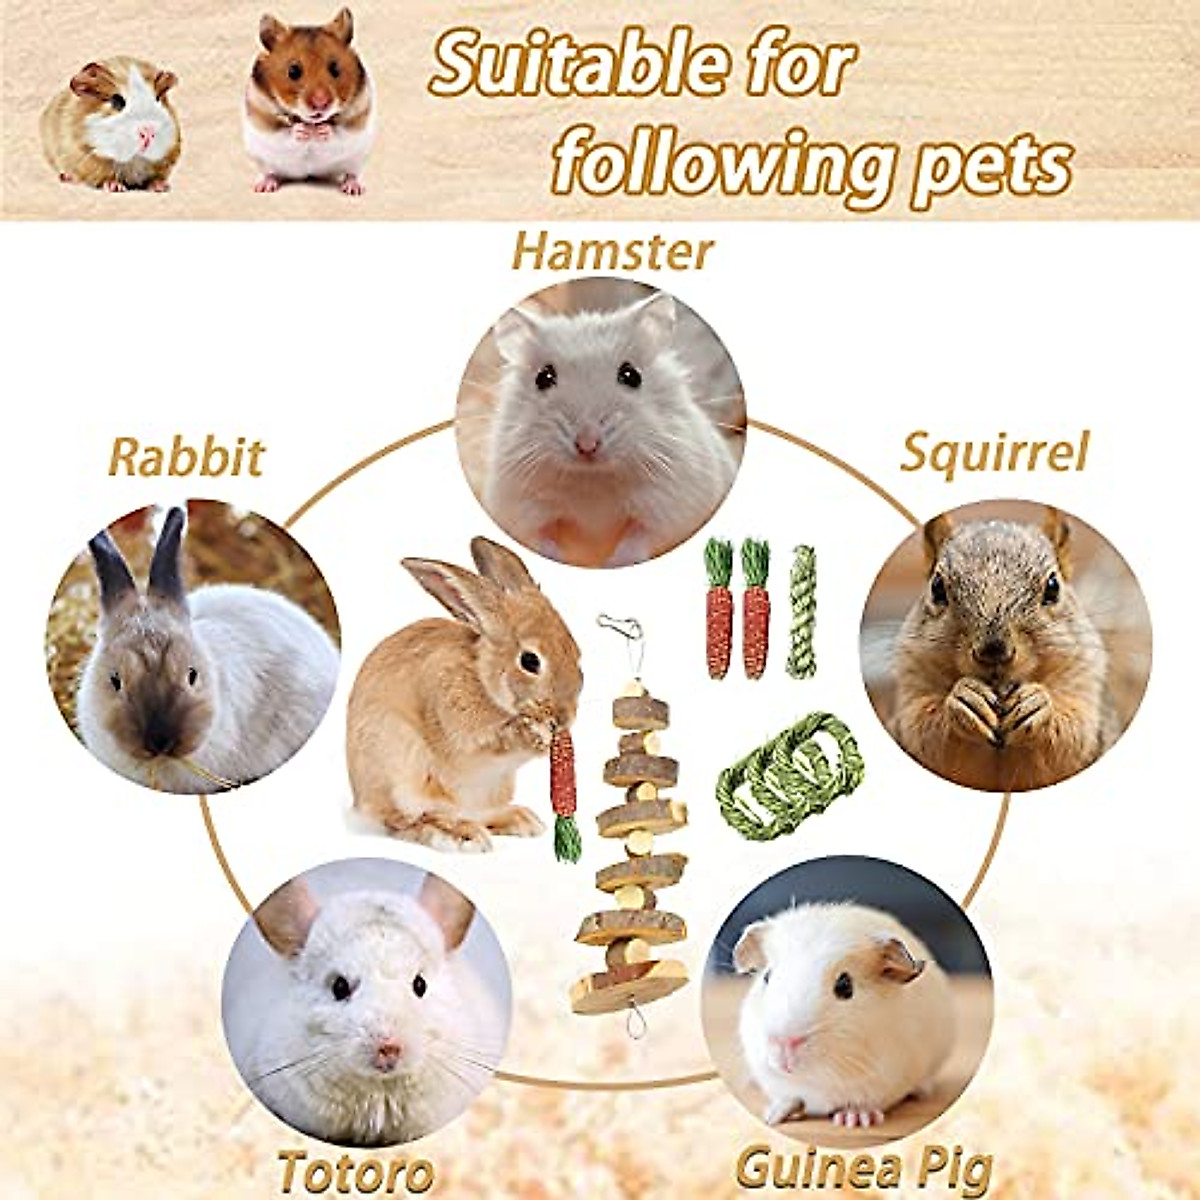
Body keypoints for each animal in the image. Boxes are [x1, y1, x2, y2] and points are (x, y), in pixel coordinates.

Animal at [40, 58, 181, 192]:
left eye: (157, 99)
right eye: (117, 101)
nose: (148, 132)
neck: (133, 160)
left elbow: (155, 176)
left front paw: (161, 187)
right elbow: (105, 176)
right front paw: (115, 187)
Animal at [243, 8, 376, 195]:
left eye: (335, 69)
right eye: (293, 71)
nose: (321, 103)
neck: (311, 122)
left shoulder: (356, 121)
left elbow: (338, 132)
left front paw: (321, 130)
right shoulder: (263, 120)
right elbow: (284, 133)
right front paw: (303, 131)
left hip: (358, 158)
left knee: (352, 173)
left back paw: (353, 188)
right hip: (261, 158)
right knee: (269, 172)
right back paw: (265, 186)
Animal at [346, 536, 583, 852]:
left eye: (576, 653)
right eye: (530, 661)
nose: (564, 717)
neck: (484, 679)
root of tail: (360, 802)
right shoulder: (459, 726)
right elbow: (491, 741)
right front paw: (535, 735)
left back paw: (520, 820)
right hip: (400, 772)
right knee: (403, 822)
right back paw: (459, 835)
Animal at [482, 290, 742, 567]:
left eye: (631, 375)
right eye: (543, 377)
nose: (587, 445)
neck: (593, 481)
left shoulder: (670, 500)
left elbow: (640, 535)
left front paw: (613, 563)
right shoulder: (522, 504)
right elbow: (543, 537)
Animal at [734, 902, 955, 1129]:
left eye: (845, 986)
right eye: (767, 977)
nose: (783, 1042)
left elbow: (863, 1103)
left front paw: (855, 1120)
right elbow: (789, 1097)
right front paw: (771, 1117)